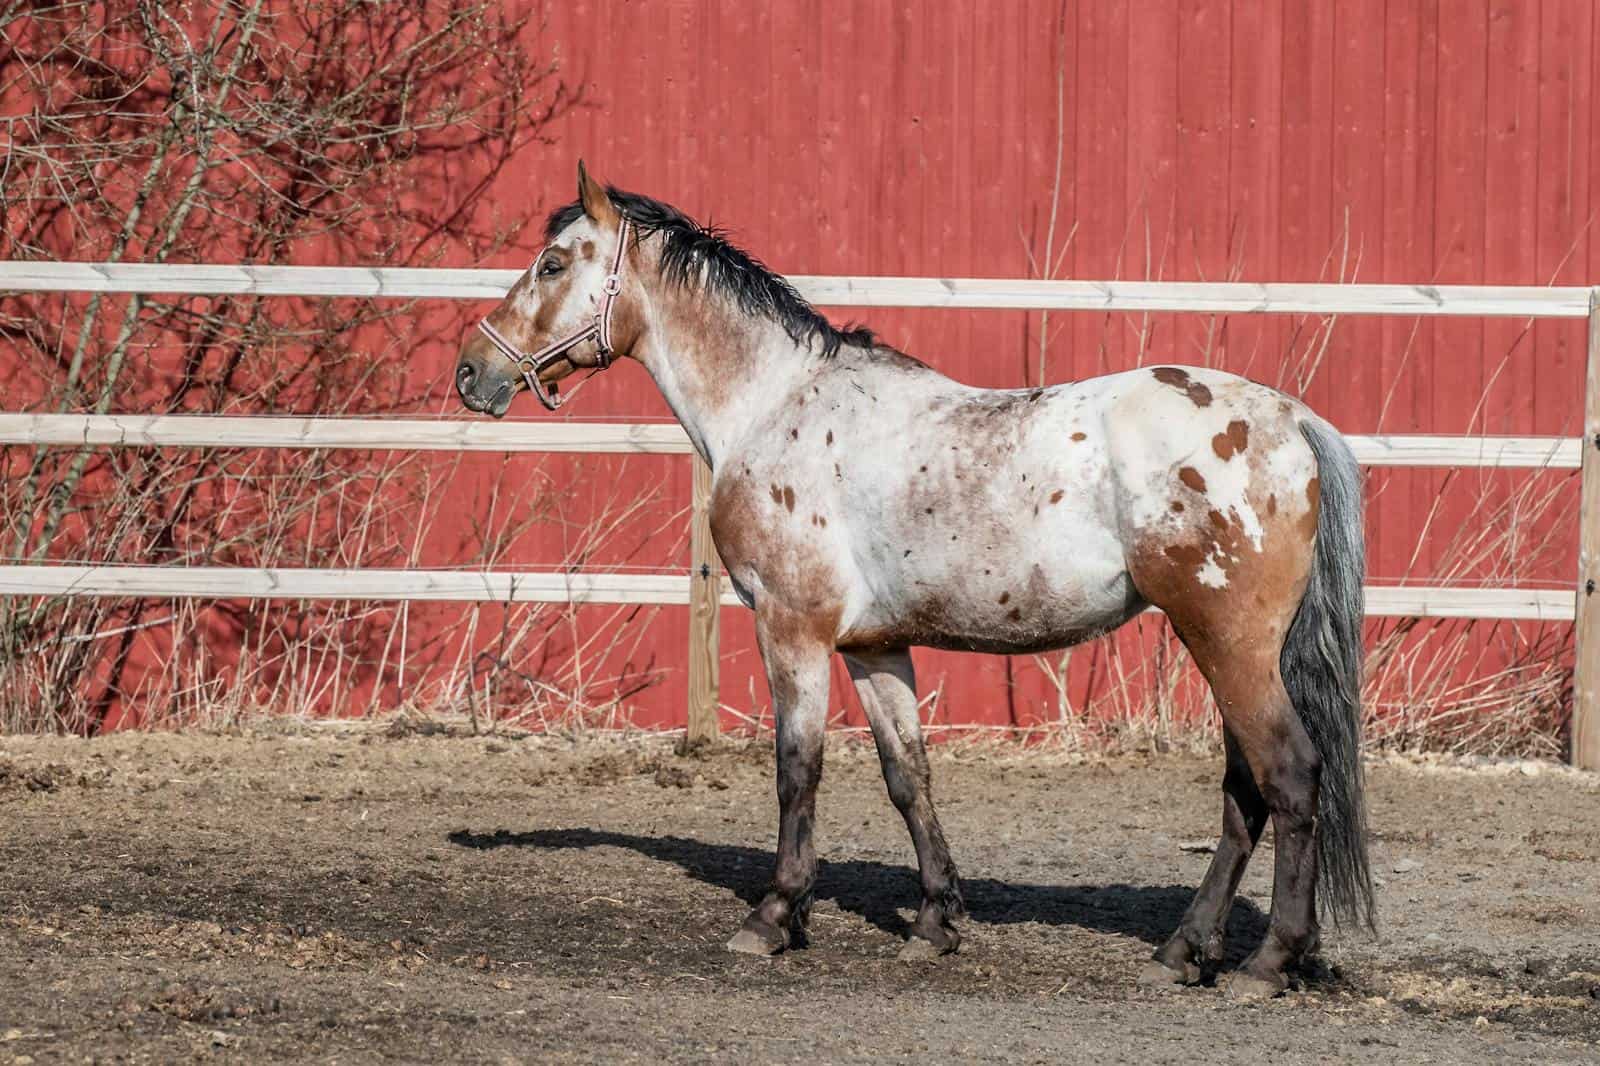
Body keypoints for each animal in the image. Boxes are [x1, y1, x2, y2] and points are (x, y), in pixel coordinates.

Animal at [454, 163, 1374, 999]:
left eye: (552, 264)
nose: (471, 372)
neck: (774, 404)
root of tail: (1294, 421)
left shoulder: (791, 629)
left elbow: (797, 769)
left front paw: (774, 918)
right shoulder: (874, 647)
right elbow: (908, 777)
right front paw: (935, 923)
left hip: (1228, 643)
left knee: (1289, 776)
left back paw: (1266, 964)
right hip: (1232, 649)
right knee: (1244, 792)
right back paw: (1184, 951)